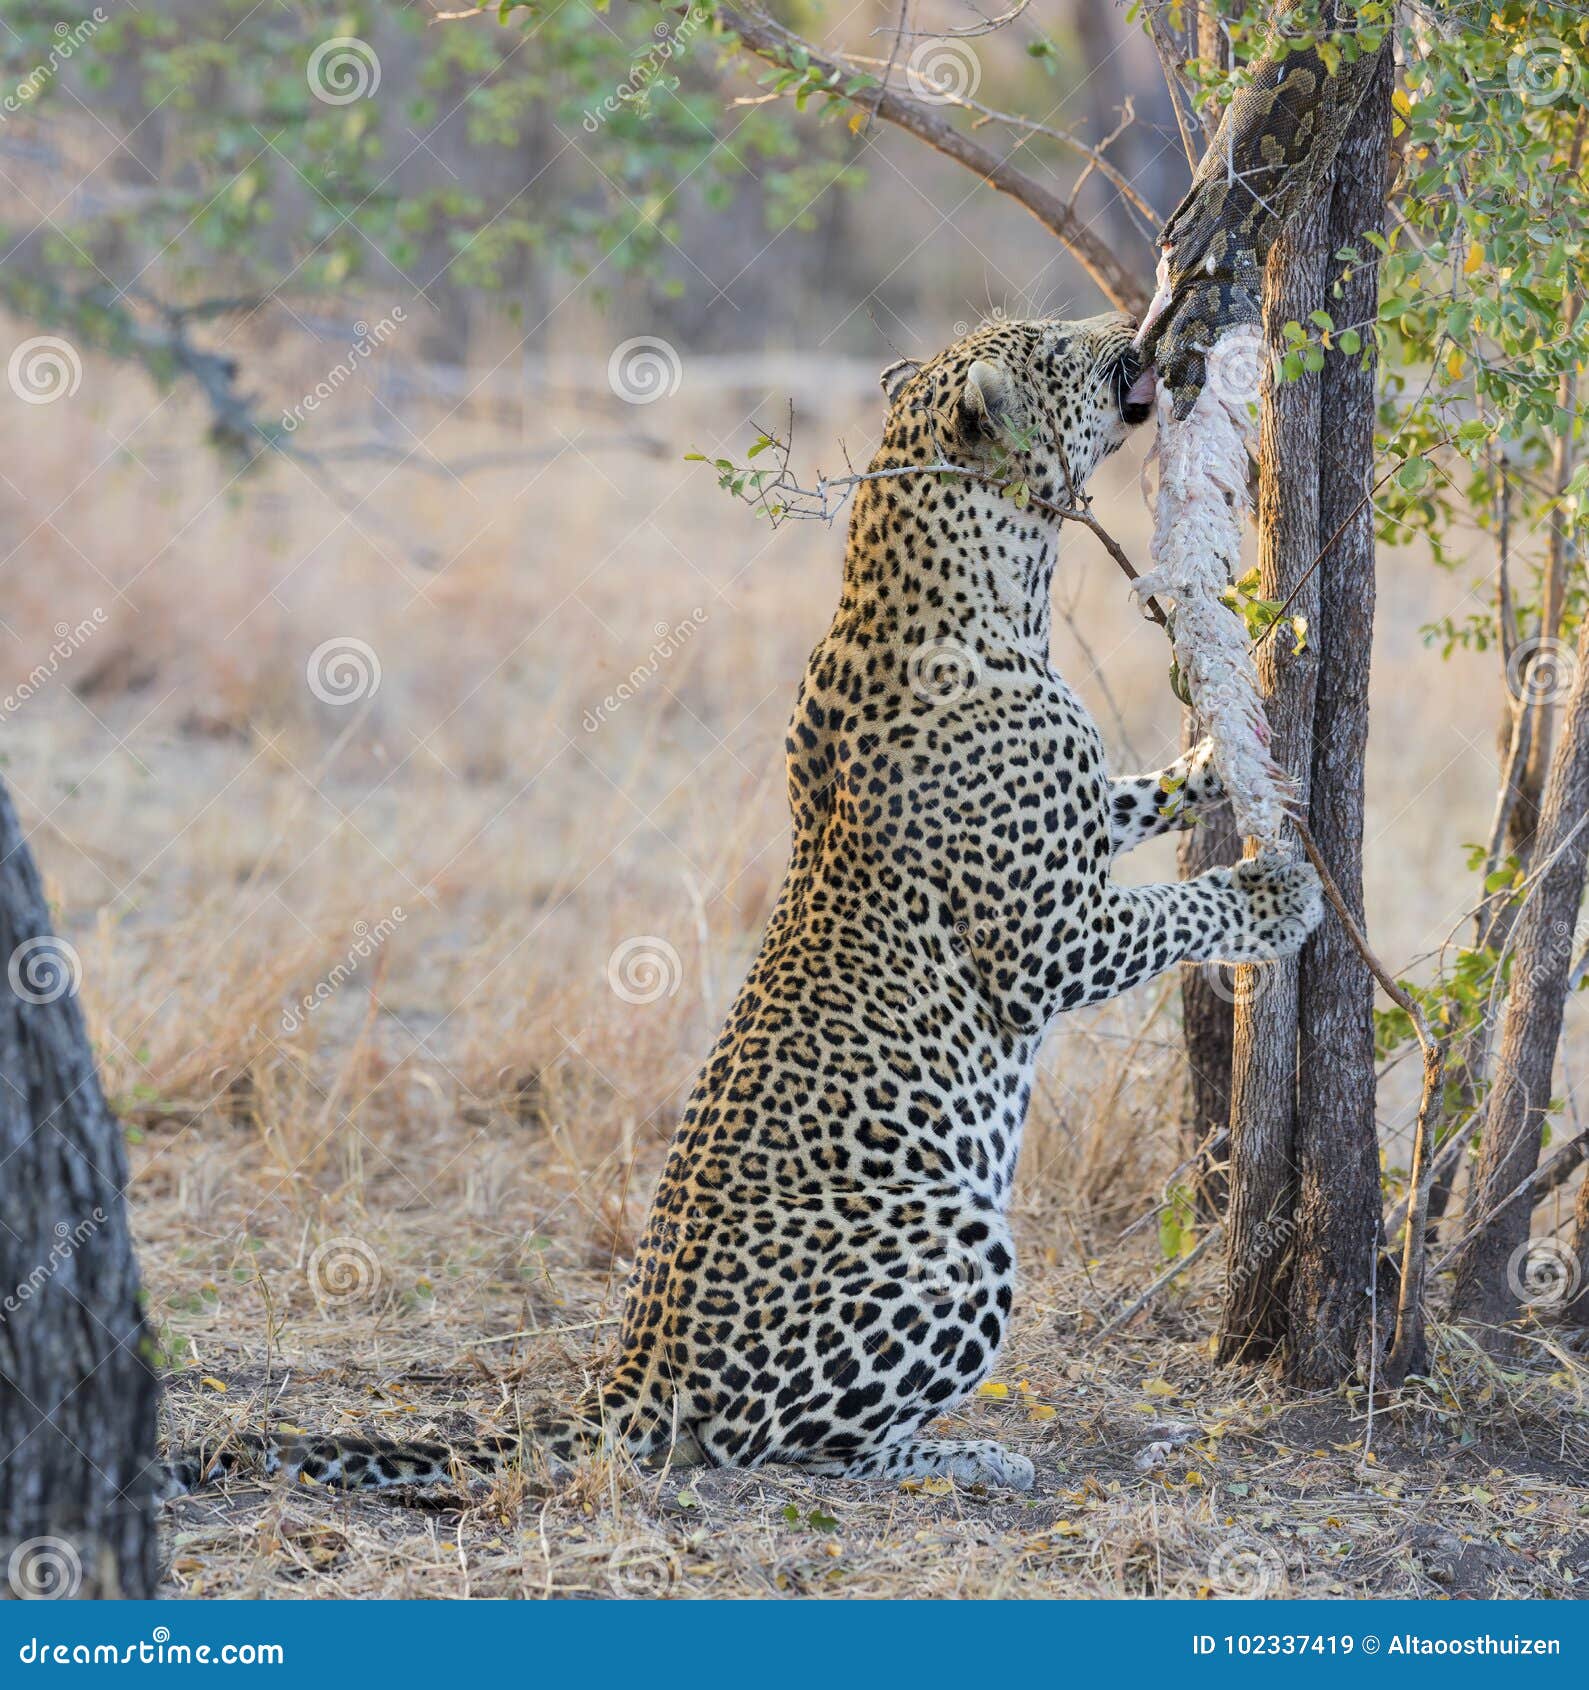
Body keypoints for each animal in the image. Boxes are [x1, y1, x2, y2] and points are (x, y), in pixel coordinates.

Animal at [163, 310, 1322, 1501]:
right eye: (1052, 343)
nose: (1132, 327)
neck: (986, 586)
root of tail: (630, 1374)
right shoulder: (1041, 937)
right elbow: (1165, 914)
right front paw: (1274, 892)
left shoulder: (1082, 818)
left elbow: (1137, 793)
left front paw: (1228, 748)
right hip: (954, 1246)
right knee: (784, 1445)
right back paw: (967, 1456)